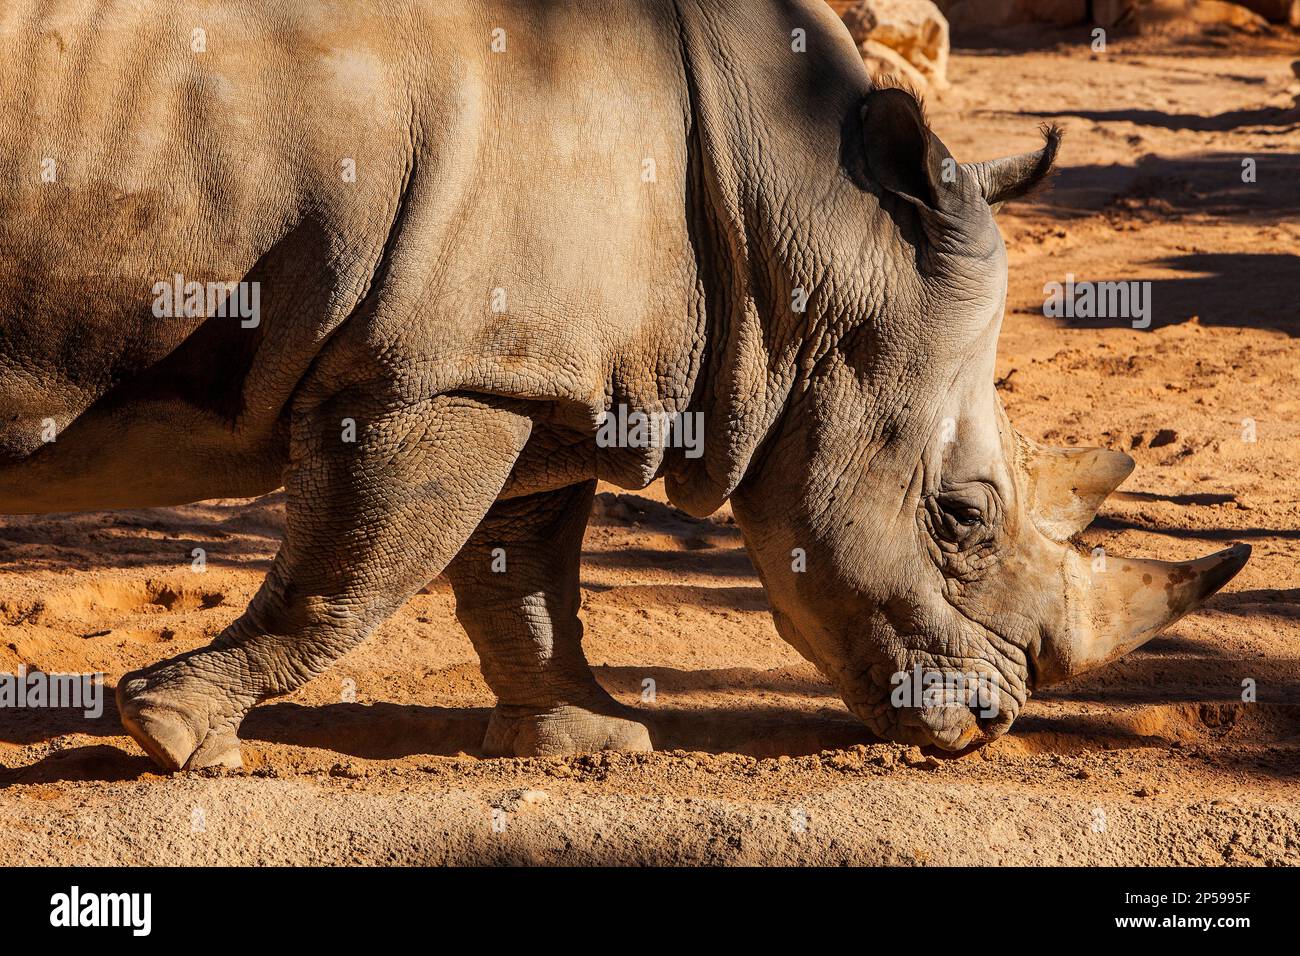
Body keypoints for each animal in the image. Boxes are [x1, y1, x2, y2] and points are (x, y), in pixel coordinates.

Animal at [0, 0, 1247, 770]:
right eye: (959, 516)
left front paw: (589, 741)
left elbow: (524, 566)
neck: (800, 227)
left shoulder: (523, 369)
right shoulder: (440, 374)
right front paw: (174, 734)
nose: (987, 723)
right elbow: (350, 573)